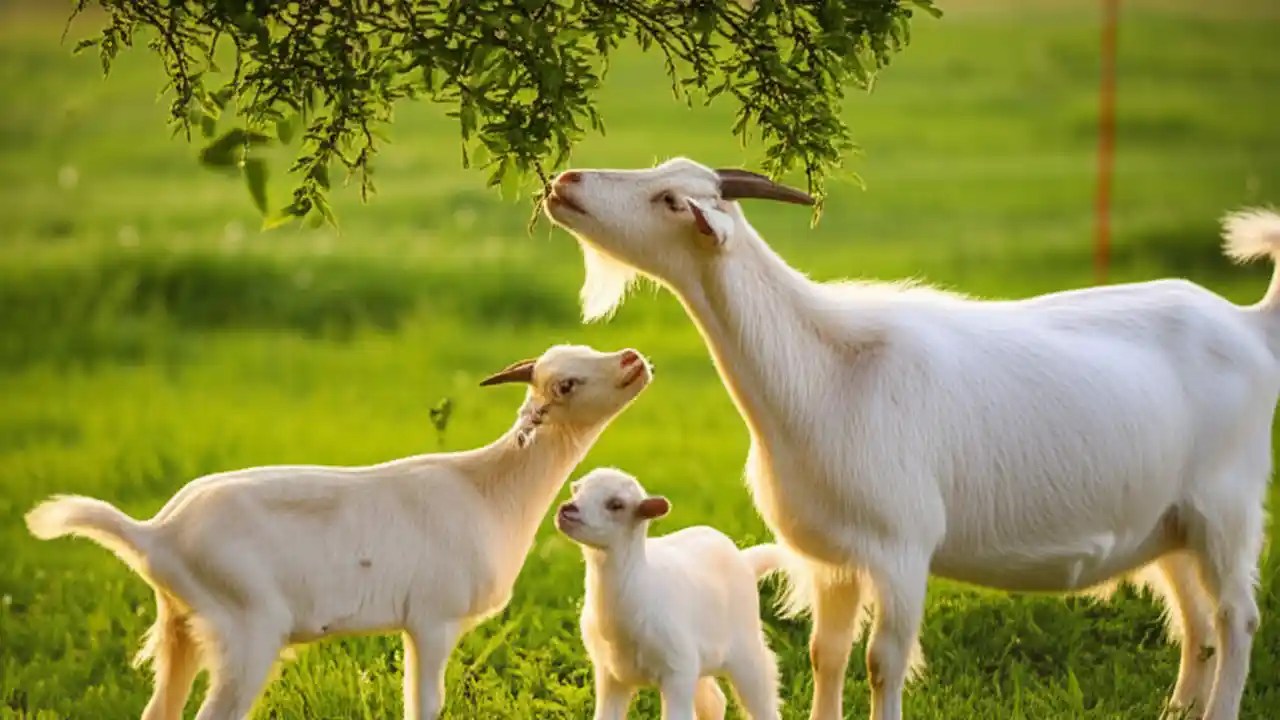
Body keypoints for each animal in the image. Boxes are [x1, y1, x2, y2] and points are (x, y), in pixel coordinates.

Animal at [25, 344, 653, 720]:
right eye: (565, 384)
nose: (632, 359)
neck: (489, 488)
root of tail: (154, 532)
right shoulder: (434, 618)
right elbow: (426, 705)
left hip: (179, 624)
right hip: (245, 628)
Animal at [556, 467, 784, 720]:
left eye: (616, 504)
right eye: (577, 490)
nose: (567, 509)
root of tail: (745, 560)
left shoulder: (677, 670)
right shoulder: (610, 673)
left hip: (746, 647)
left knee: (762, 695)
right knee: (715, 700)